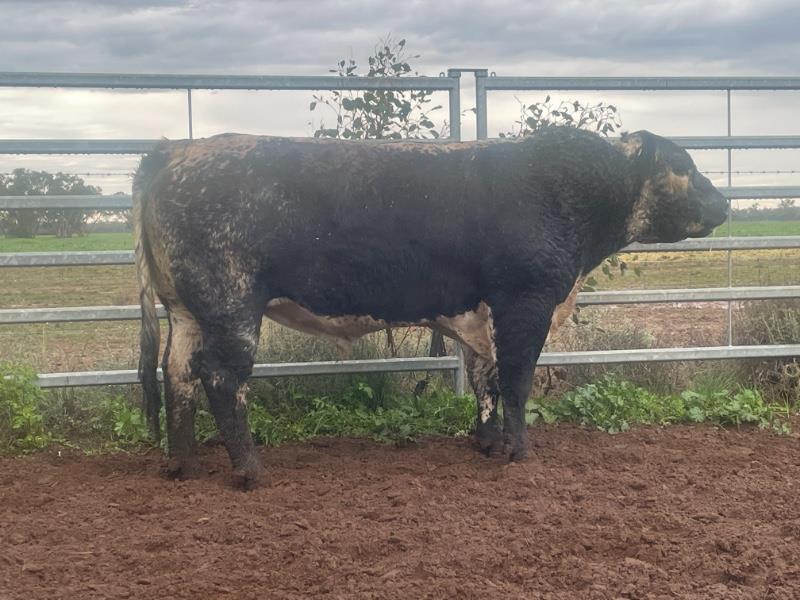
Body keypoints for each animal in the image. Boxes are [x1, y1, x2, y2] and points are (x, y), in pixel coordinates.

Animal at [133, 126, 728, 488]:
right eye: (684, 163)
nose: (724, 203)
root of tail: (178, 151)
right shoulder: (527, 302)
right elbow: (517, 379)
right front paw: (519, 452)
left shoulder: (485, 315)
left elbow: (486, 378)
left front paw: (487, 443)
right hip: (231, 302)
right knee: (220, 377)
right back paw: (250, 469)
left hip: (186, 311)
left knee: (176, 373)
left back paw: (183, 463)